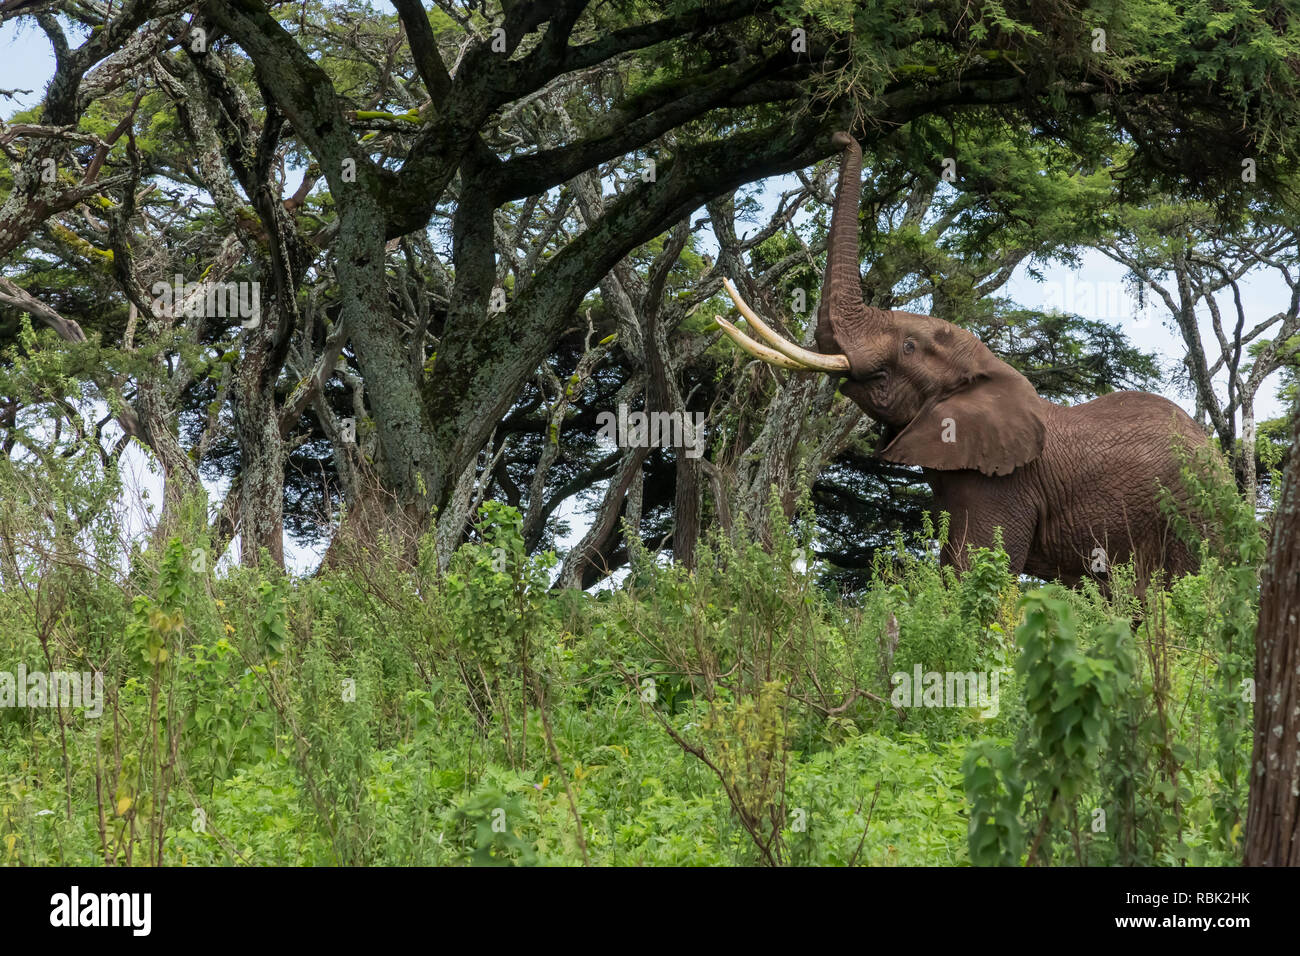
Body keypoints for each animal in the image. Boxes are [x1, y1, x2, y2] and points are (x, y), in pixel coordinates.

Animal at [715, 131, 1211, 588]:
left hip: (1193, 511)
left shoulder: (1004, 483)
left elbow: (975, 569)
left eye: (909, 347)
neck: (989, 372)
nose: (841, 135)